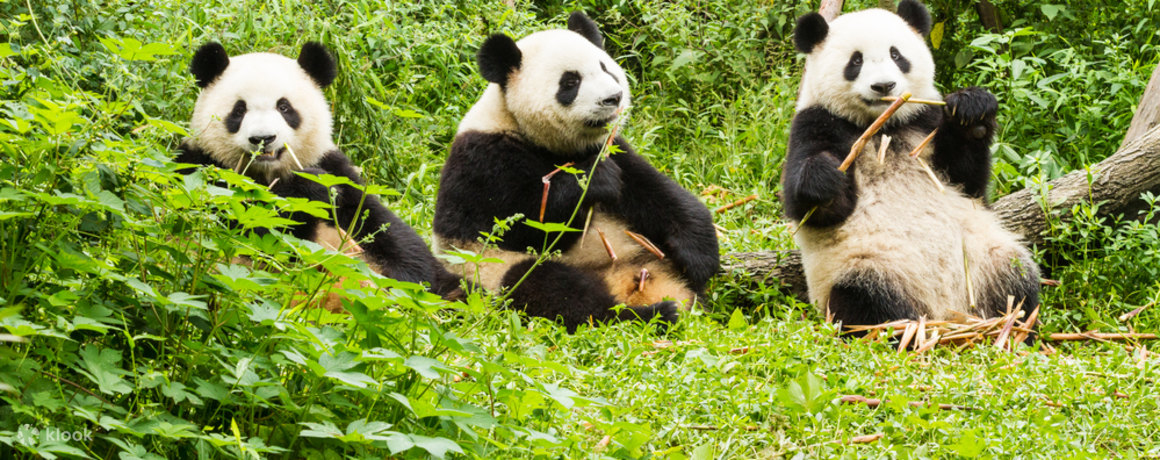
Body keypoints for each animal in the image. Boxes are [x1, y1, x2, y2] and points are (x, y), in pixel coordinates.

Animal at [176, 41, 461, 297]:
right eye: (239, 110)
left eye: (284, 107)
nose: (263, 138)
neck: (268, 173)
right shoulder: (200, 167)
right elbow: (244, 223)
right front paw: (308, 189)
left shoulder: (336, 169)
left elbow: (385, 230)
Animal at [432, 12, 720, 332]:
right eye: (571, 82)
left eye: (605, 68)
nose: (614, 98)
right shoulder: (482, 161)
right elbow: (516, 225)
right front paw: (593, 181)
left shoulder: (611, 147)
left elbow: (655, 192)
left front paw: (699, 257)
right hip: (493, 270)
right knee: (551, 290)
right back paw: (648, 315)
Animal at [781, 0, 1040, 326]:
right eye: (856, 61)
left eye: (896, 55)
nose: (884, 86)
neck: (883, 125)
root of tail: (947, 313)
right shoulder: (815, 123)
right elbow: (814, 209)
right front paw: (823, 178)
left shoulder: (924, 121)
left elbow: (967, 181)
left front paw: (972, 111)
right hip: (867, 266)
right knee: (867, 301)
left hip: (986, 259)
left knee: (1017, 281)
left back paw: (1014, 323)